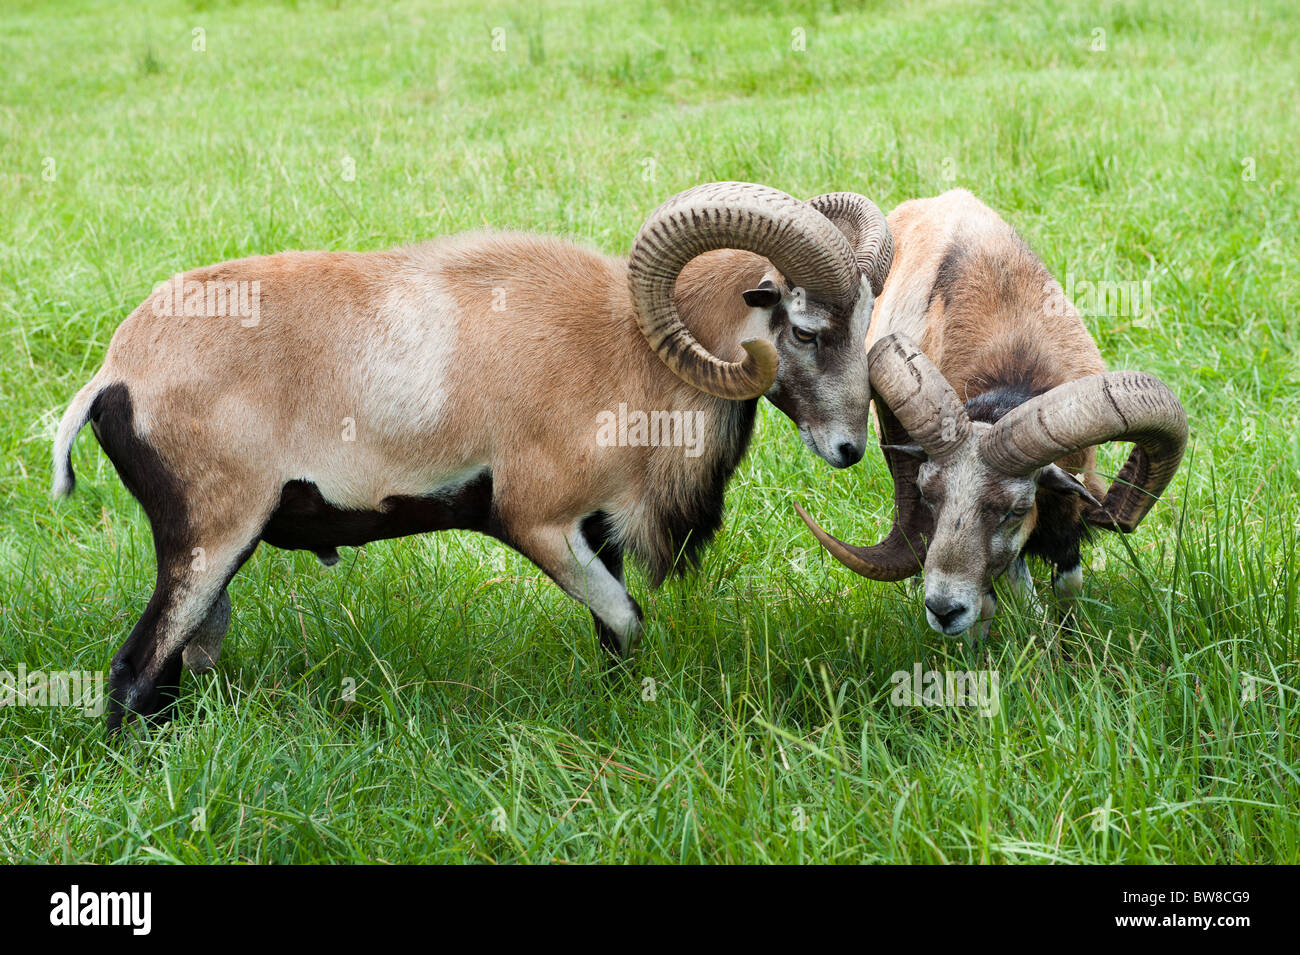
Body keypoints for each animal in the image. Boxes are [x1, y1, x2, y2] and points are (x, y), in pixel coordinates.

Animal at [51, 181, 892, 729]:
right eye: (806, 329)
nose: (850, 448)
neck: (627, 353)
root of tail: (112, 377)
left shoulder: (598, 533)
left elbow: (613, 634)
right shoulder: (536, 523)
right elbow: (627, 621)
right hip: (209, 539)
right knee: (133, 675)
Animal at [795, 189, 1187, 637]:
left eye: (1016, 509)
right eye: (928, 495)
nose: (943, 609)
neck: (1013, 367)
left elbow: (1068, 583)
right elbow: (1005, 596)